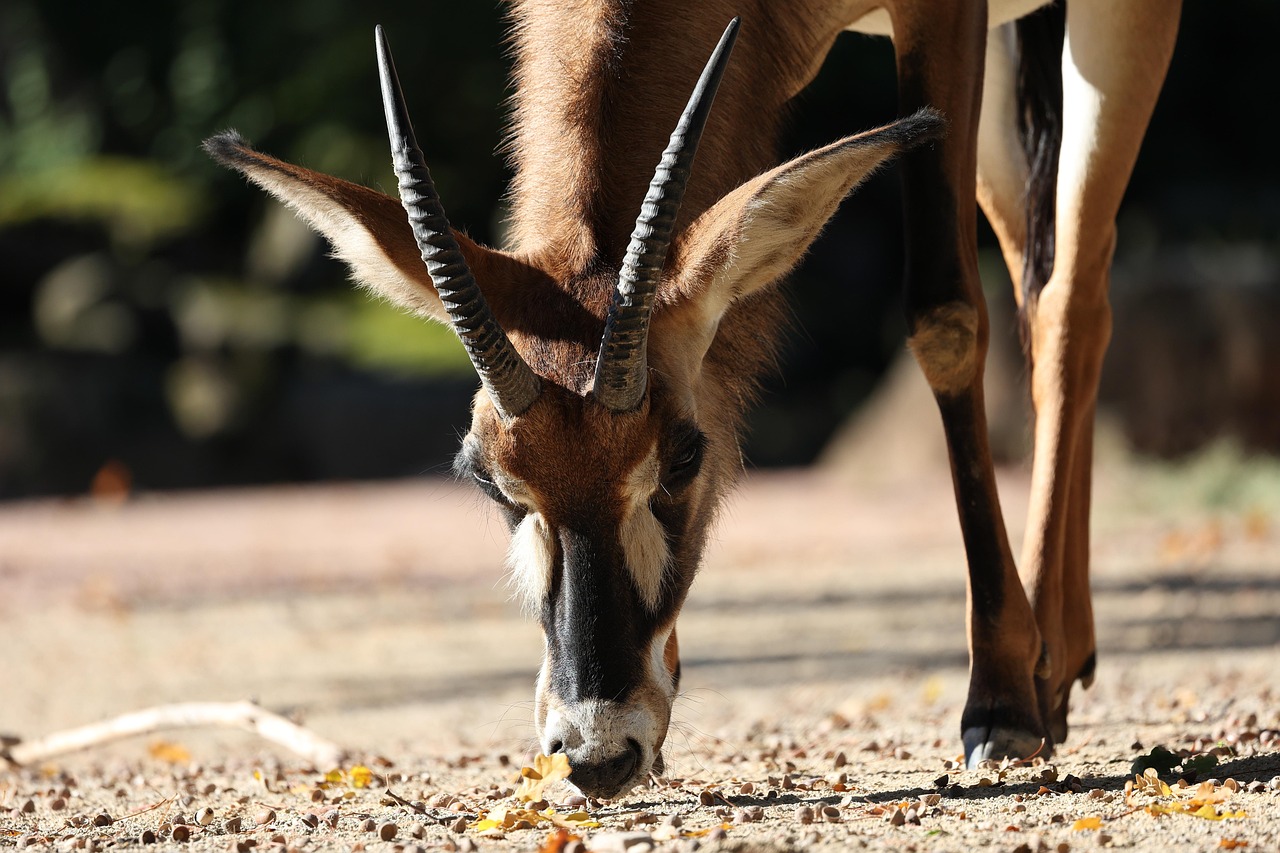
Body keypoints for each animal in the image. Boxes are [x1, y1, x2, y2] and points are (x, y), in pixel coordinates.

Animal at [206, 0, 1179, 798]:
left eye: (682, 454)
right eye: (488, 479)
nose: (597, 753)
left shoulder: (942, 13)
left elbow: (944, 316)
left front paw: (1001, 708)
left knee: (1072, 292)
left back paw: (1039, 673)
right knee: (1041, 282)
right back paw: (1060, 659)